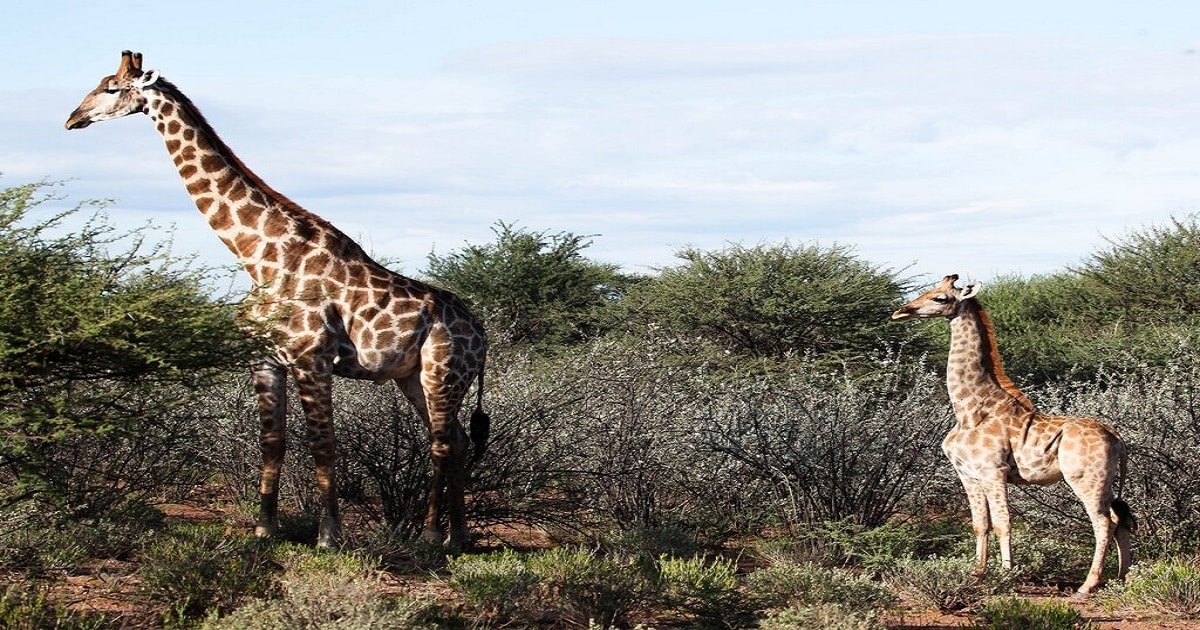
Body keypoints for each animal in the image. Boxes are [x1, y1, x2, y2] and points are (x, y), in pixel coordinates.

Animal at [66, 51, 490, 551]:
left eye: (111, 88)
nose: (72, 119)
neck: (259, 257)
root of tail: (481, 334)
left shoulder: (312, 358)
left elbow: (322, 443)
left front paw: (328, 535)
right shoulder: (265, 360)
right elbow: (273, 442)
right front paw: (264, 528)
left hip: (443, 371)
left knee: (441, 443)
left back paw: (429, 535)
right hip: (413, 377)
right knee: (458, 440)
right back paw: (457, 537)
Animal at [891, 274, 1133, 596]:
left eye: (940, 298)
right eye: (928, 291)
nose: (901, 312)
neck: (968, 409)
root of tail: (1116, 438)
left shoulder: (994, 471)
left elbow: (1003, 523)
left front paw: (1006, 575)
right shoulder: (968, 474)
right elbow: (979, 524)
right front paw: (977, 573)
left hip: (1086, 479)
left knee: (1103, 523)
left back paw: (1088, 585)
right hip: (1104, 482)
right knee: (1120, 519)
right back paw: (1121, 578)